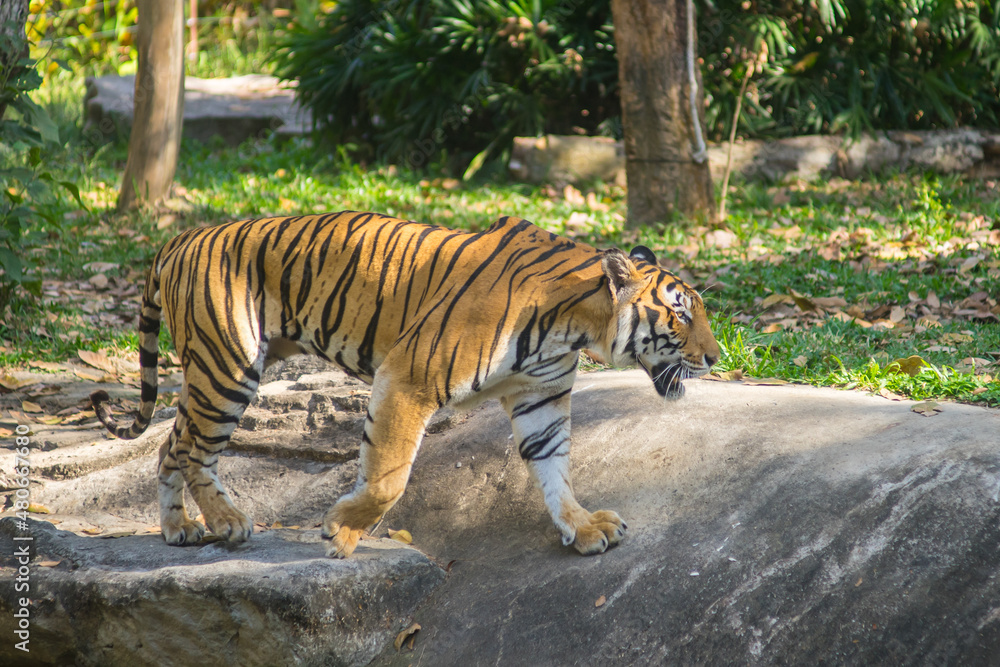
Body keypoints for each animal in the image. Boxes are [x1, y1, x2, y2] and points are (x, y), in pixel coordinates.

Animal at [92, 211, 720, 558]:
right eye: (680, 313)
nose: (716, 358)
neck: (574, 326)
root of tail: (181, 237)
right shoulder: (409, 378)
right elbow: (389, 477)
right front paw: (341, 532)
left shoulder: (539, 397)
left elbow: (554, 468)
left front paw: (582, 526)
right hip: (228, 365)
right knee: (196, 449)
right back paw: (226, 523)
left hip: (208, 372)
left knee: (172, 444)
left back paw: (179, 528)